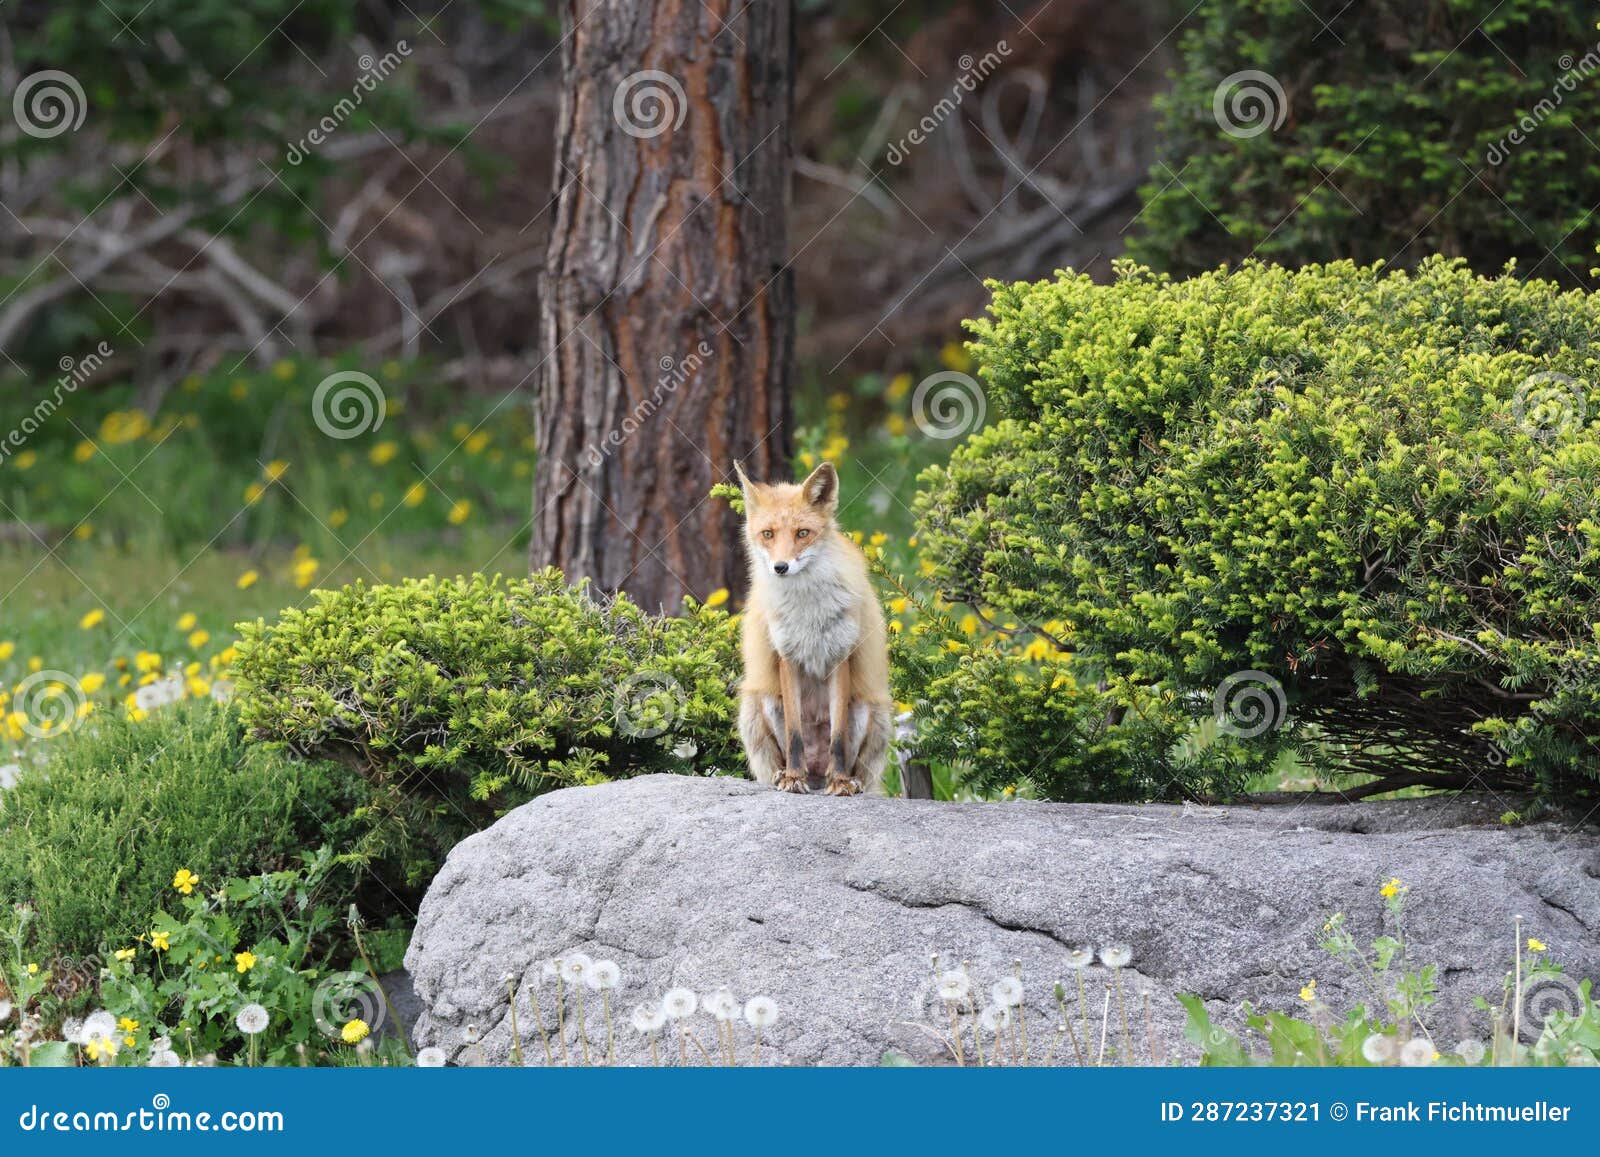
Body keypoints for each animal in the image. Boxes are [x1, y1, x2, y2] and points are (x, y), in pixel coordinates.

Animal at [733, 460, 893, 796]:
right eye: (768, 534)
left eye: (802, 533)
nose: (781, 567)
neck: (808, 611)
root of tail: (817, 774)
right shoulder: (786, 658)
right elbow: (795, 735)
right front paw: (794, 778)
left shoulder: (840, 657)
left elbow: (838, 739)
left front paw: (841, 782)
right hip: (761, 703)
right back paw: (788, 774)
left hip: (868, 709)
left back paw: (847, 781)